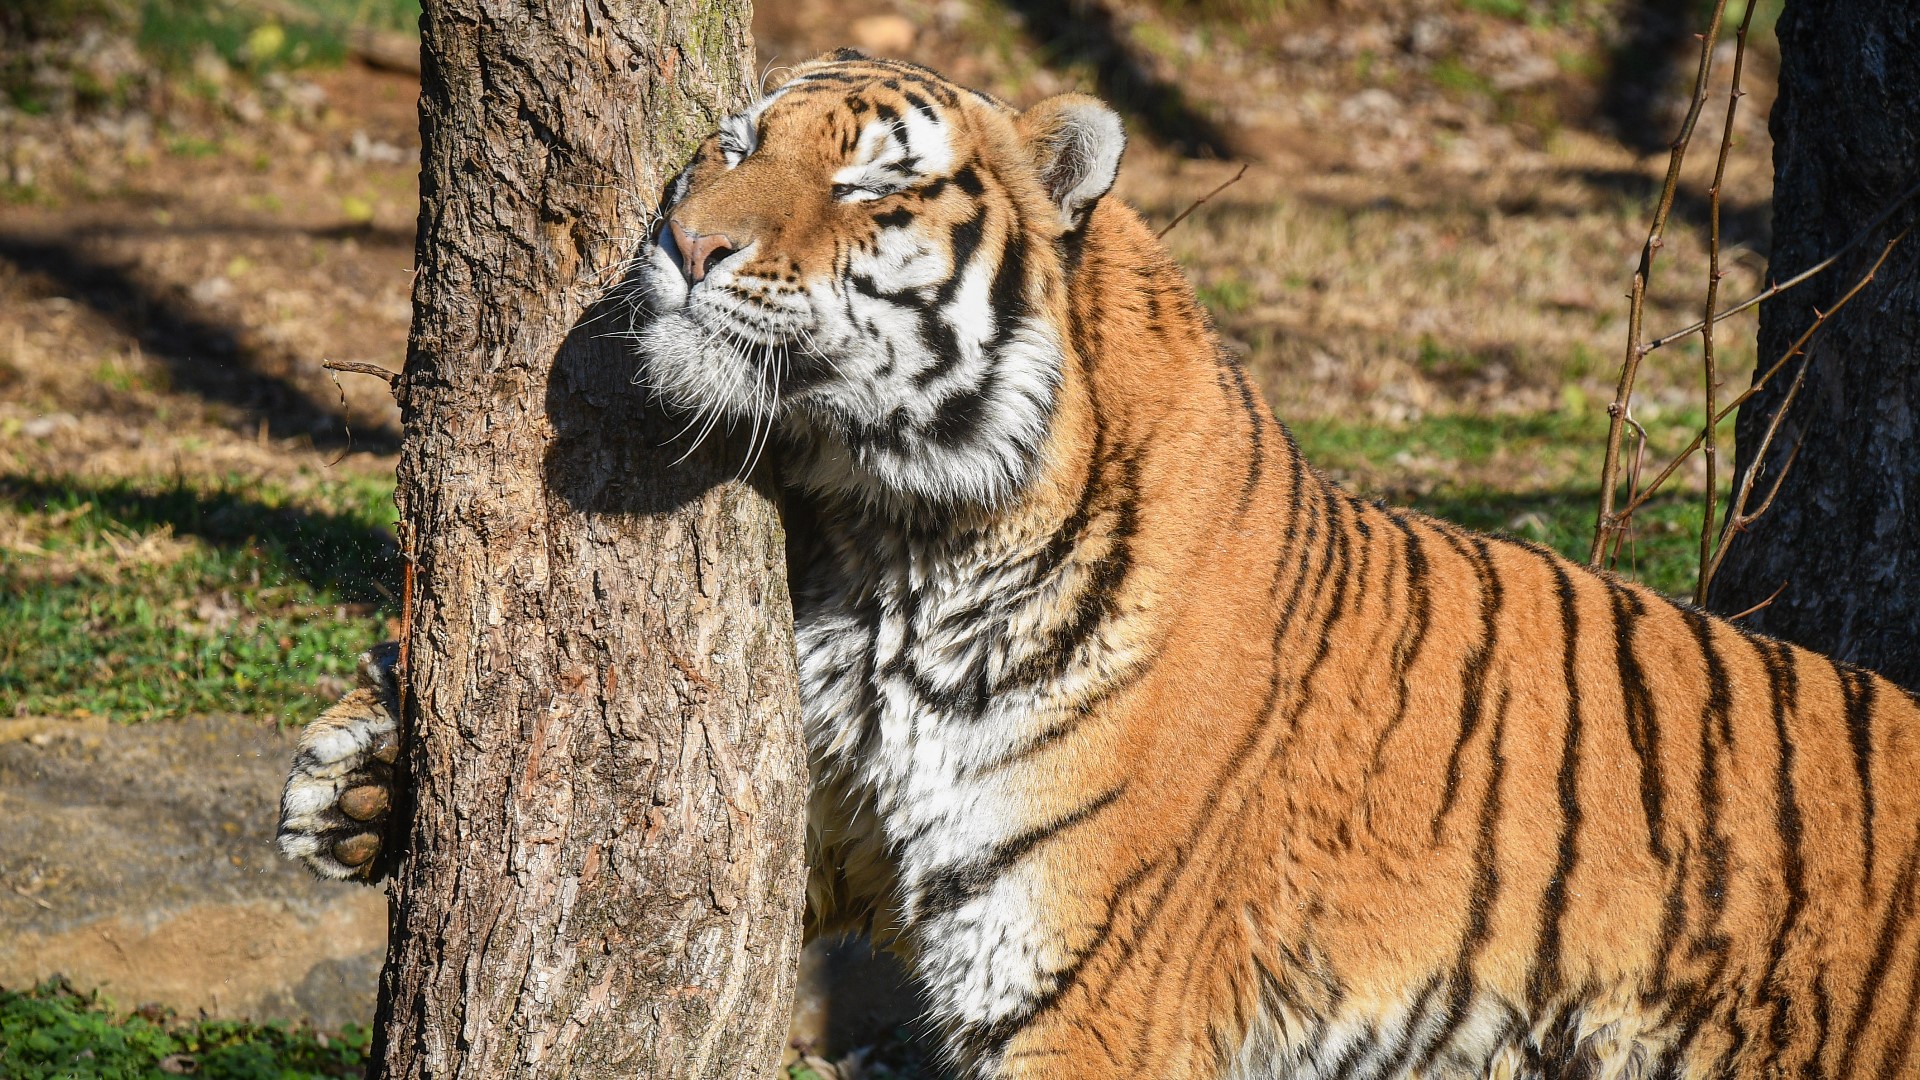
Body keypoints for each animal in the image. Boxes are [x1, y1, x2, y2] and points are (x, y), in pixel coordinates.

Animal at [278, 50, 1920, 1079]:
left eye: (871, 189)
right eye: (729, 147)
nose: (686, 248)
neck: (893, 543)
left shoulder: (1083, 987)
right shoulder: (854, 817)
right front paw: (364, 787)